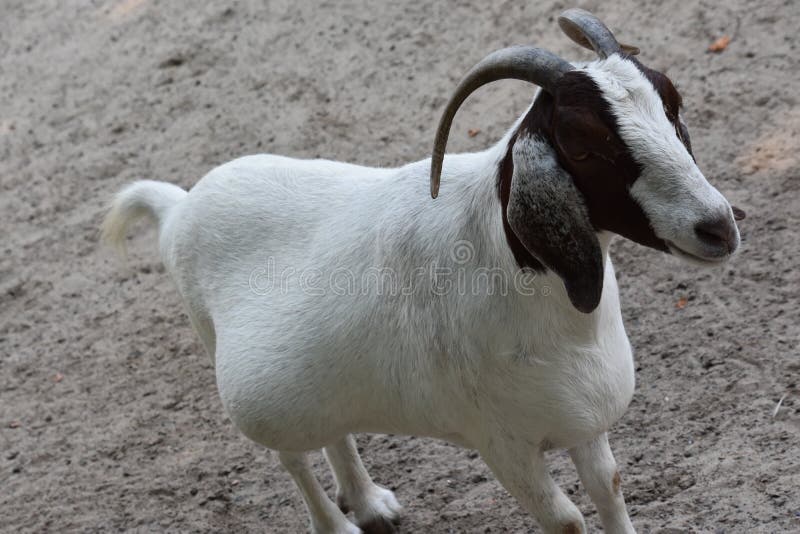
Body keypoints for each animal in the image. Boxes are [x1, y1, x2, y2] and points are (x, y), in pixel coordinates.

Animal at [103, 9, 744, 534]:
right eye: (584, 146)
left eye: (674, 108)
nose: (718, 227)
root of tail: (177, 205)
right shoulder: (502, 444)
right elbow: (566, 520)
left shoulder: (584, 423)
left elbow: (609, 491)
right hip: (246, 382)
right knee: (291, 457)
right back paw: (339, 525)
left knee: (331, 433)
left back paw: (371, 505)